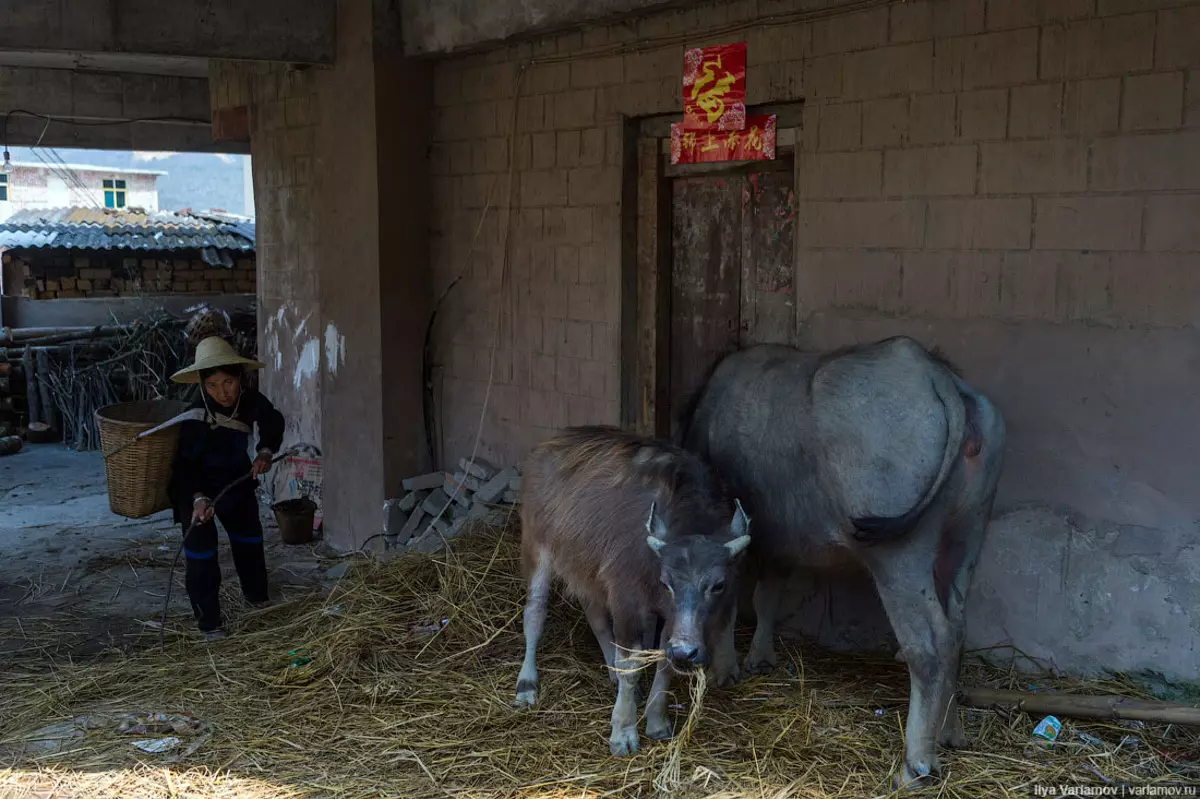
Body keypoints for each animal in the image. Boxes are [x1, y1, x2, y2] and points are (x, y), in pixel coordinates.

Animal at [513, 422, 748, 753]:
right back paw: (527, 684)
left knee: (595, 615)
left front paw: (657, 720)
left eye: (719, 585)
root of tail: (551, 443)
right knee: (535, 614)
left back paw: (612, 671)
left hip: (589, 569)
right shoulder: (628, 600)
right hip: (537, 547)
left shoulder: (671, 618)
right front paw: (623, 730)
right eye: (666, 582)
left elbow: (663, 661)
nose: (686, 652)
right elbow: (632, 661)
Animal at [681, 333, 1008, 782]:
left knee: (929, 645)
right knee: (956, 630)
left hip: (898, 554)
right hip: (969, 531)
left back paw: (915, 762)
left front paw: (724, 670)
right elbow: (767, 596)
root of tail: (937, 376)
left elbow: (731, 601)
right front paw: (760, 658)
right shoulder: (781, 541)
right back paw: (949, 732)